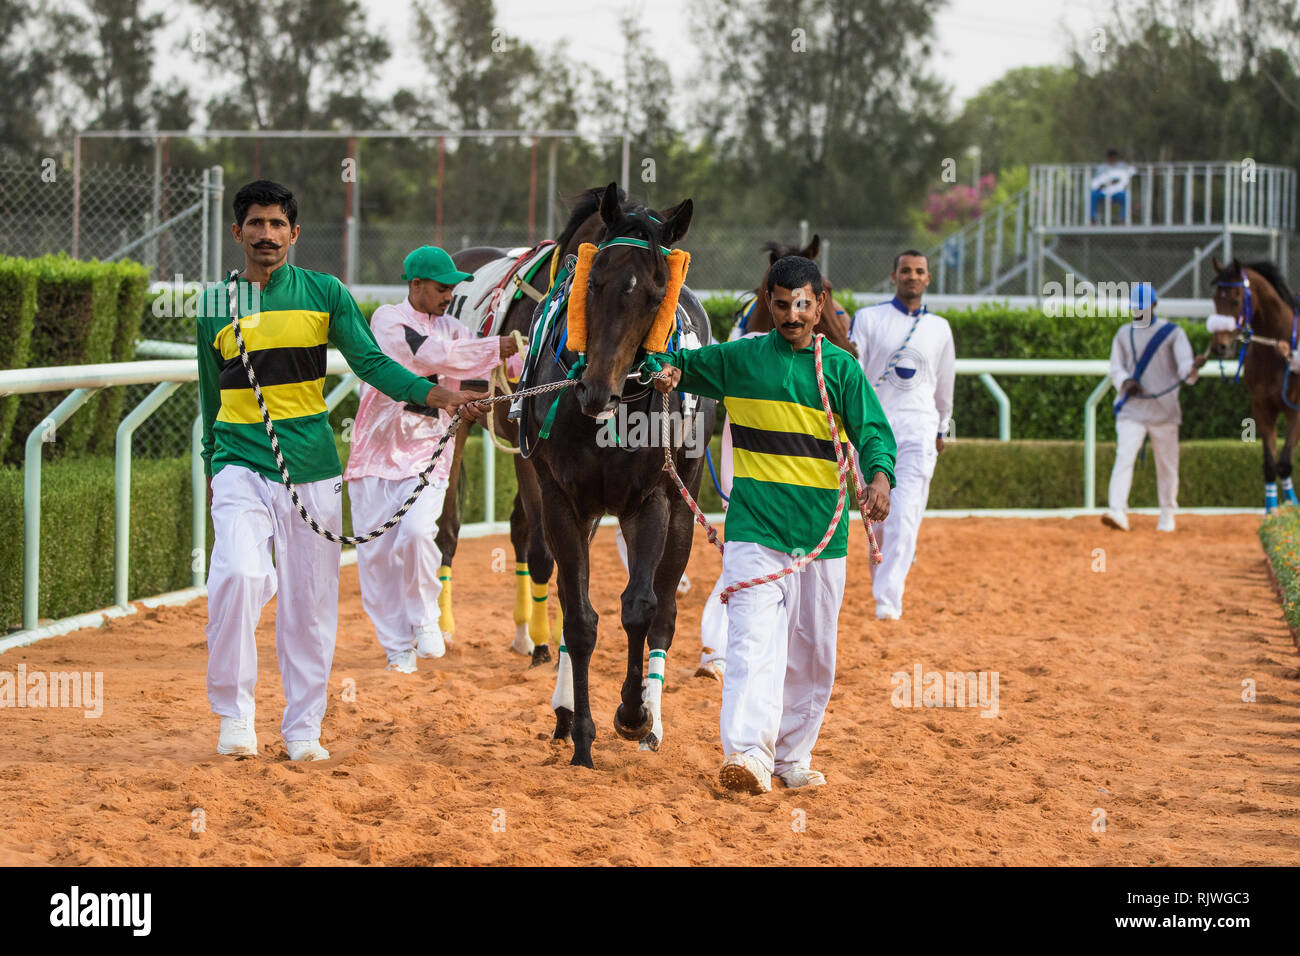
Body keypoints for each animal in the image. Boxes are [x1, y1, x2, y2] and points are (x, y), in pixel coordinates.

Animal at [513, 182, 716, 768]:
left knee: (664, 610)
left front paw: (632, 712)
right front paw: (582, 733)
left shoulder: (649, 500)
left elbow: (640, 609)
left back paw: (653, 719)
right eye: (593, 280)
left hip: (684, 502)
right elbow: (579, 619)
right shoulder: (562, 499)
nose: (595, 392)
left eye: (655, 293)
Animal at [1206, 257, 1300, 511]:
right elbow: (1269, 466)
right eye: (1215, 299)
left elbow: (1284, 464)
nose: (1220, 346)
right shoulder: (1262, 407)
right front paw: (1271, 513)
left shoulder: (1295, 411)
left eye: (1236, 300)